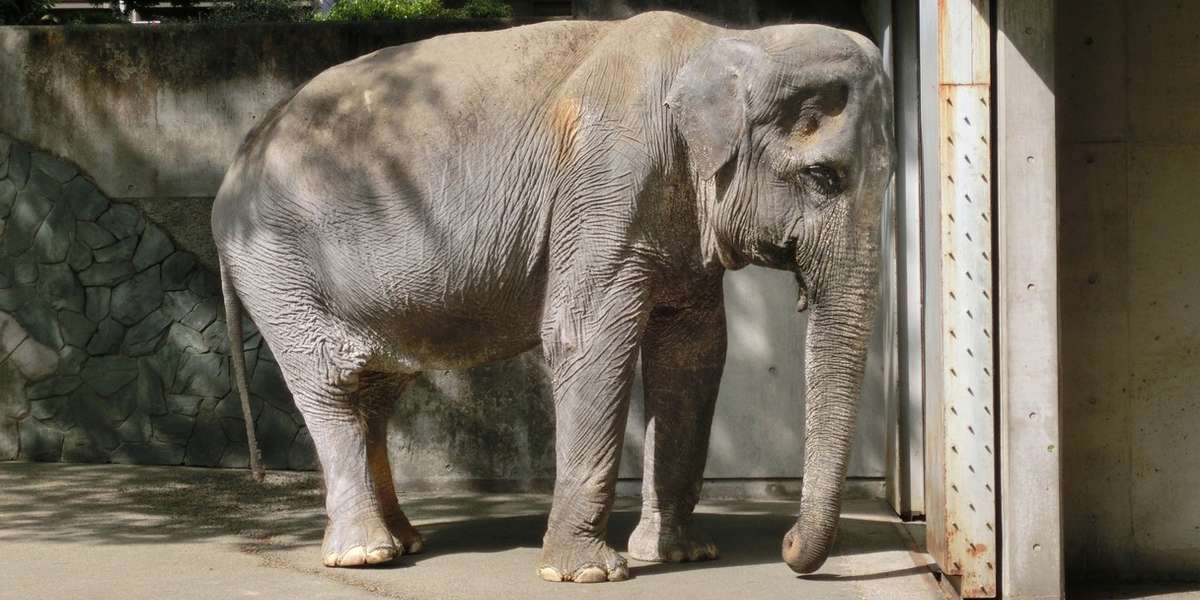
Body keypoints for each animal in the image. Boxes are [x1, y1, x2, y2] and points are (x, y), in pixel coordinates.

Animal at [211, 10, 894, 583]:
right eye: (822, 177)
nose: (787, 546)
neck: (725, 40)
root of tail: (238, 157)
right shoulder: (605, 181)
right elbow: (588, 338)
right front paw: (588, 573)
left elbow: (694, 354)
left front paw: (680, 556)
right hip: (278, 267)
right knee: (330, 382)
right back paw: (366, 555)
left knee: (374, 391)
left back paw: (405, 542)